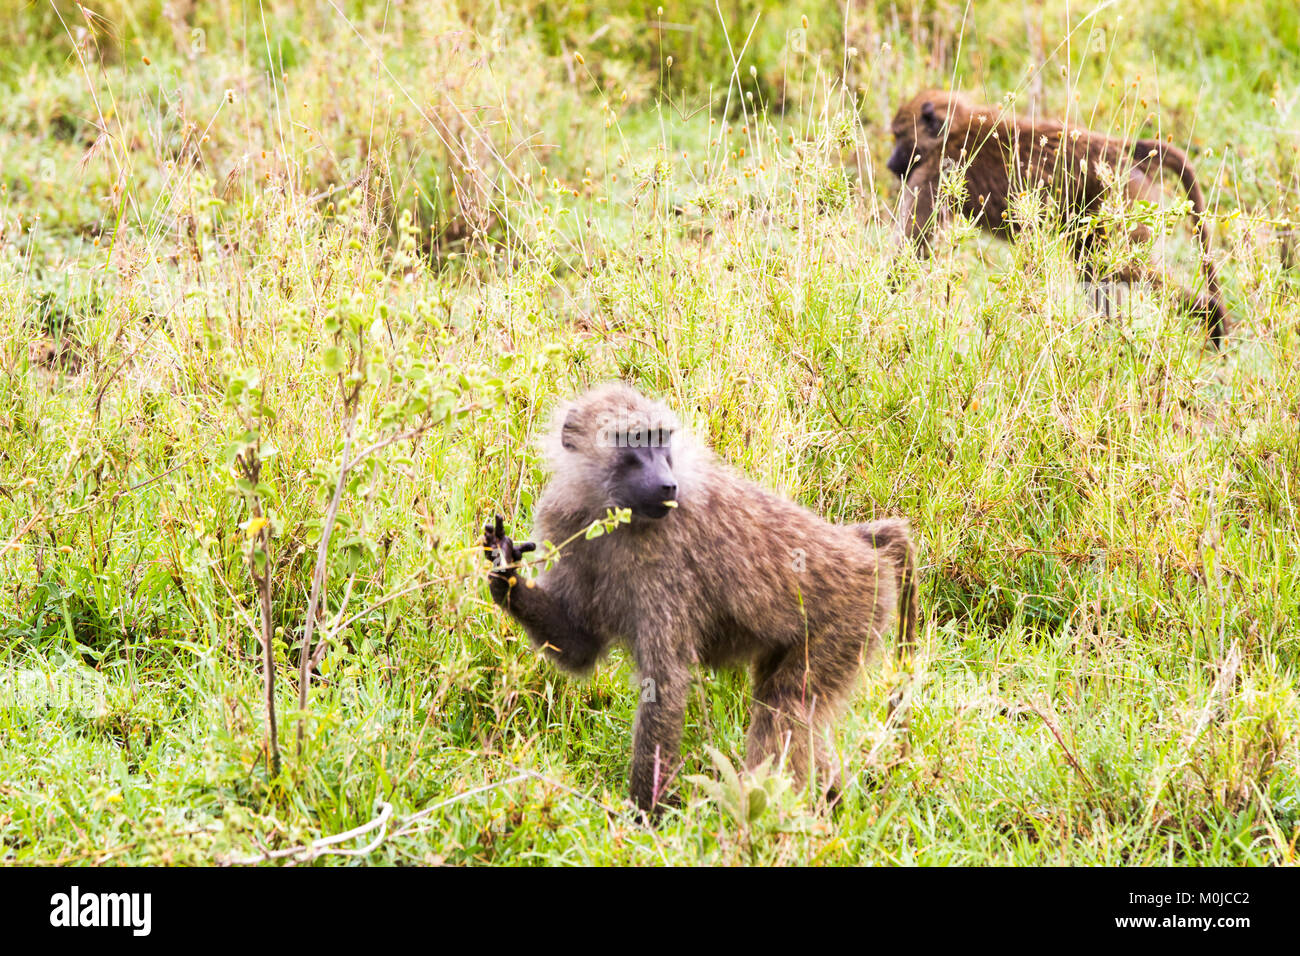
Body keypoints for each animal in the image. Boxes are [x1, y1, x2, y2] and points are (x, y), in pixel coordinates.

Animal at [481, 383, 918, 815]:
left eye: (661, 440)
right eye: (634, 441)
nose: (667, 484)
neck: (609, 510)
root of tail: (859, 549)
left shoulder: (665, 557)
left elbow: (665, 680)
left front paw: (644, 818)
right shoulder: (562, 521)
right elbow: (579, 647)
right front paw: (506, 570)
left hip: (852, 611)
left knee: (785, 708)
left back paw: (762, 819)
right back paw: (832, 805)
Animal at [886, 89, 1230, 345]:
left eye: (899, 136)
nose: (891, 164)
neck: (955, 128)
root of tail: (1123, 151)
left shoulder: (933, 174)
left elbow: (911, 249)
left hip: (1120, 205)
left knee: (1119, 268)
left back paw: (1212, 317)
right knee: (1095, 271)